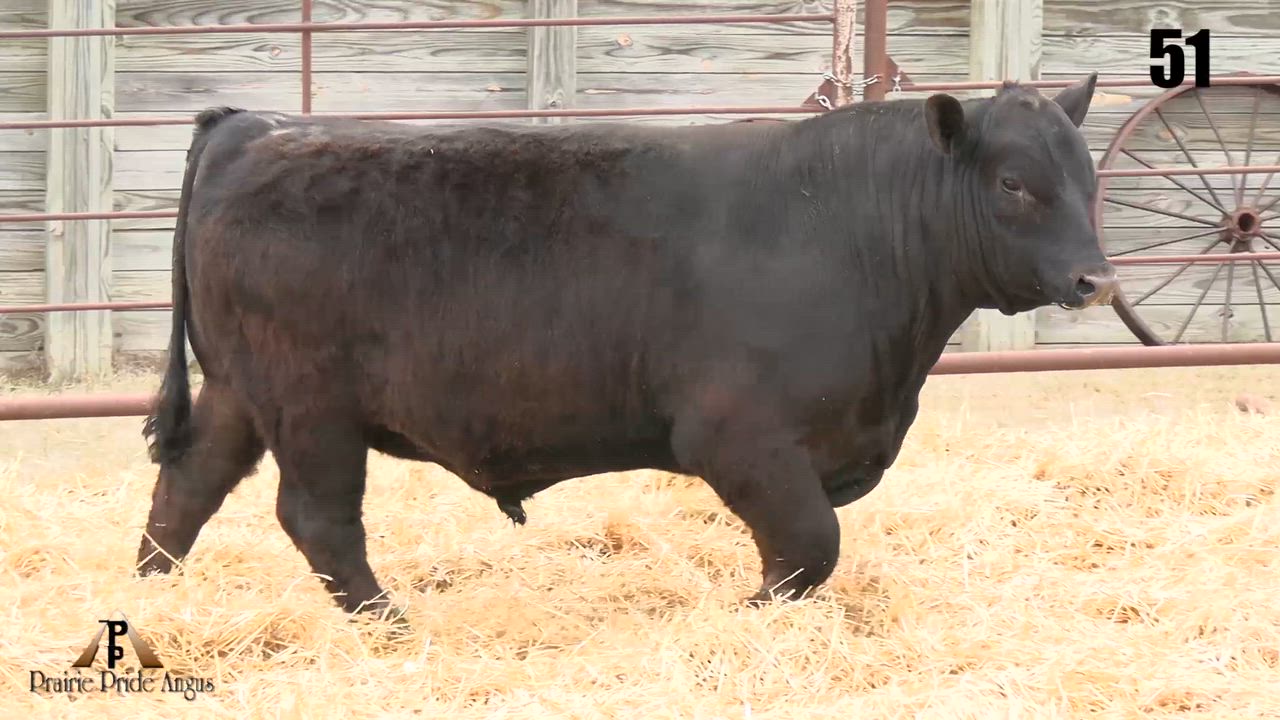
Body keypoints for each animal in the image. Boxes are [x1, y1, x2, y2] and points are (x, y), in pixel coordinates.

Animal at [136, 74, 1115, 619]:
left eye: (1087, 176)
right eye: (1014, 183)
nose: (1095, 281)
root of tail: (257, 128)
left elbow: (804, 550)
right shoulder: (740, 436)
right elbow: (809, 545)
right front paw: (746, 616)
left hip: (239, 395)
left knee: (185, 490)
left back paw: (151, 603)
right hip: (311, 410)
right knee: (318, 522)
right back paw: (389, 625)